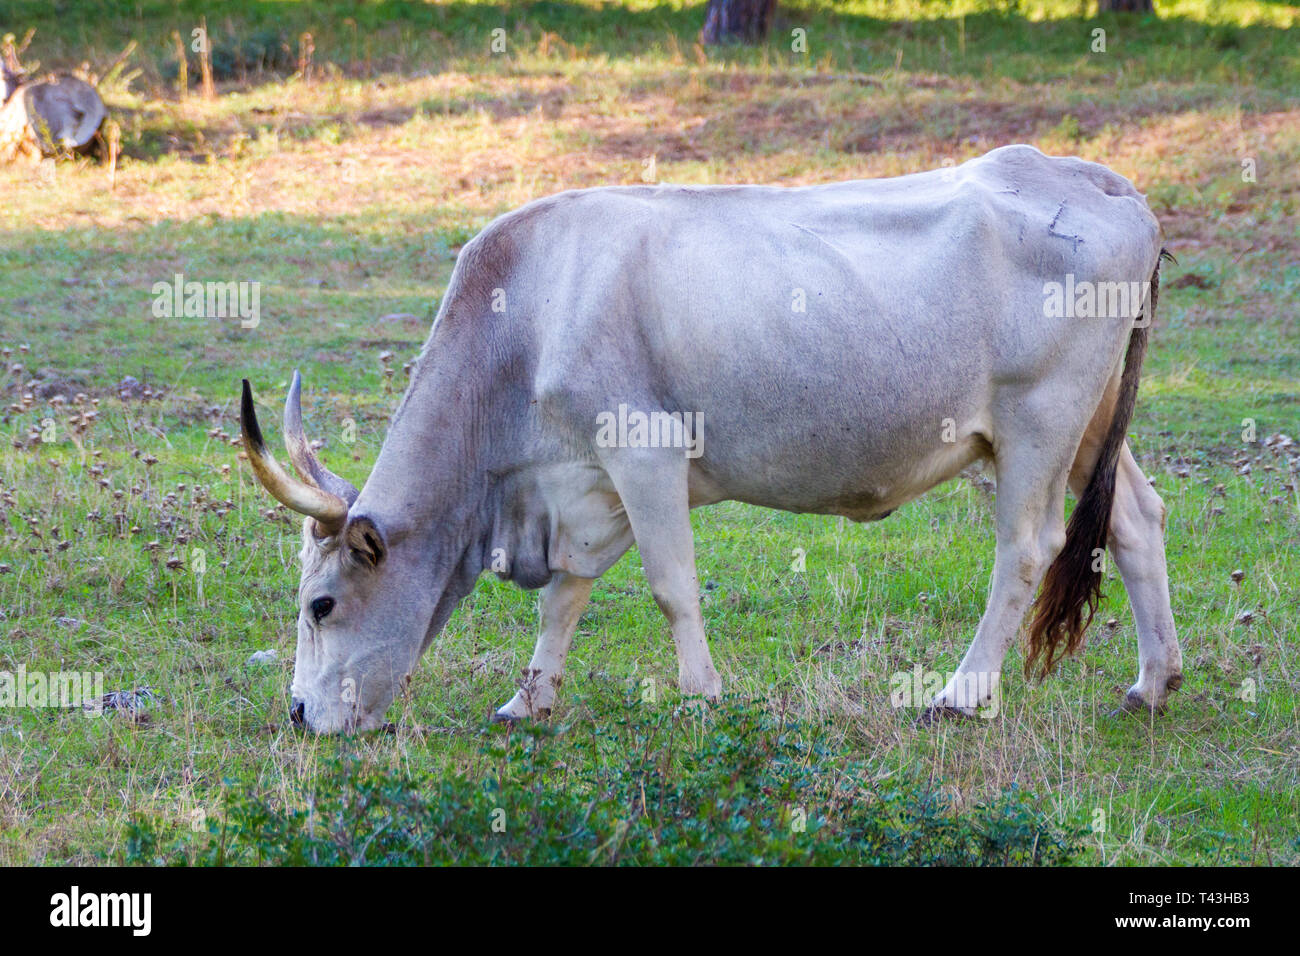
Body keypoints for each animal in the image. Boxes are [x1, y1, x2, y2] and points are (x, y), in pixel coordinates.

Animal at [240, 144, 1182, 733]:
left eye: (320, 605)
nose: (297, 714)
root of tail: (1097, 181)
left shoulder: (643, 449)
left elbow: (670, 586)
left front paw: (700, 695)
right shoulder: (587, 485)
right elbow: (566, 594)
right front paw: (529, 699)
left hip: (1036, 422)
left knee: (1026, 549)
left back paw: (959, 692)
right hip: (1093, 421)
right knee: (1136, 518)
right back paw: (1154, 679)